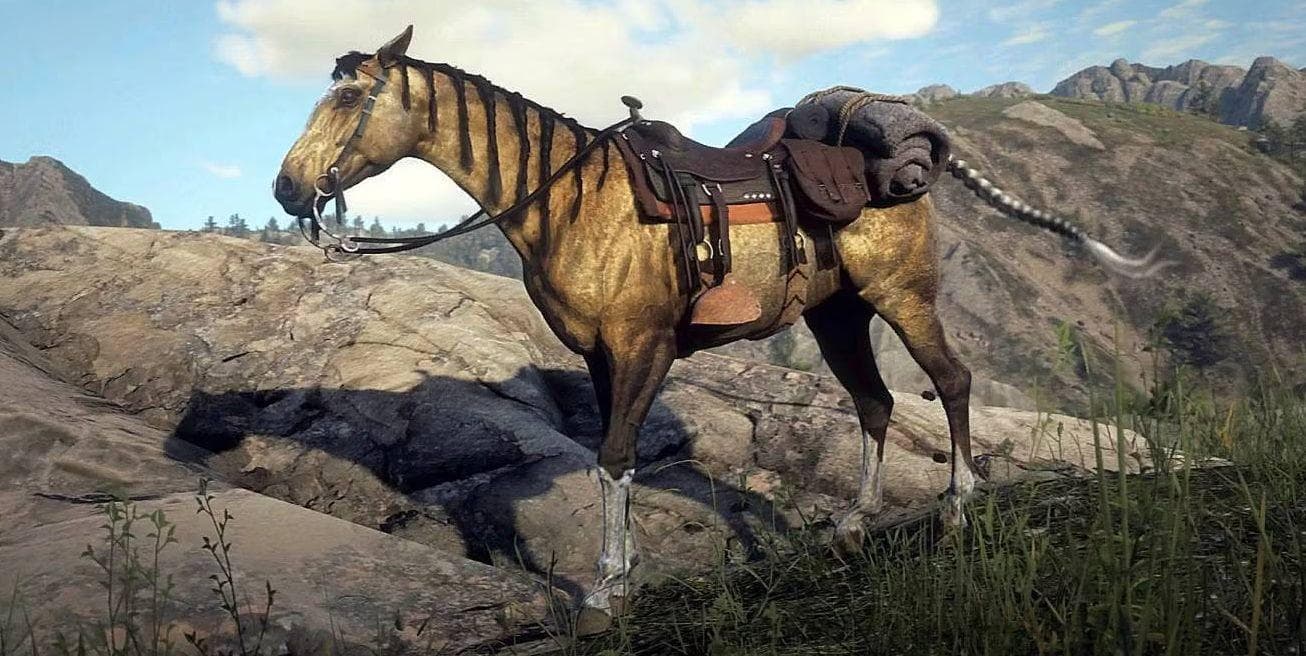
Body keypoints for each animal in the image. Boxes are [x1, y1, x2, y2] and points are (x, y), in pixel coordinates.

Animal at [273, 27, 1167, 622]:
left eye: (347, 97)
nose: (286, 189)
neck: (571, 200)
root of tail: (904, 160)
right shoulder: (602, 356)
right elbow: (615, 459)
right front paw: (623, 572)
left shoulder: (644, 345)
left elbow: (615, 457)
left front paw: (606, 589)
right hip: (838, 316)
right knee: (876, 403)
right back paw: (853, 523)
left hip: (904, 297)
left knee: (950, 381)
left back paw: (956, 509)